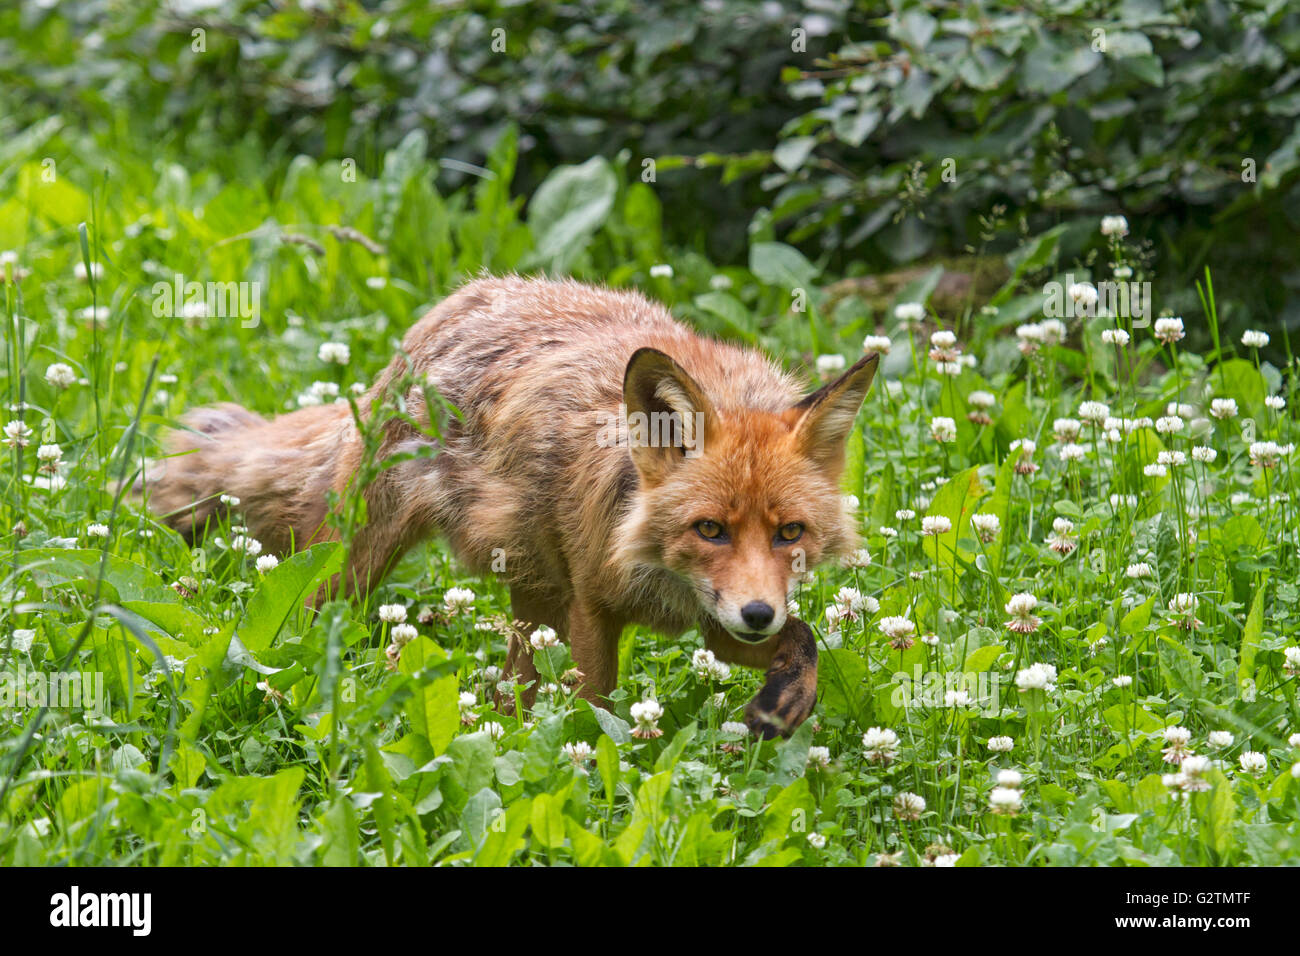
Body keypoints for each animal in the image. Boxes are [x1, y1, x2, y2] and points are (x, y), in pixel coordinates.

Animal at [148, 275, 879, 737]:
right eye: (710, 530)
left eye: (790, 532)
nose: (757, 613)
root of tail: (465, 297)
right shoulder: (594, 608)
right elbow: (595, 709)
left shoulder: (715, 624)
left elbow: (803, 641)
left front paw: (780, 709)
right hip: (351, 569)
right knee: (302, 620)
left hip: (533, 603)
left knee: (512, 696)